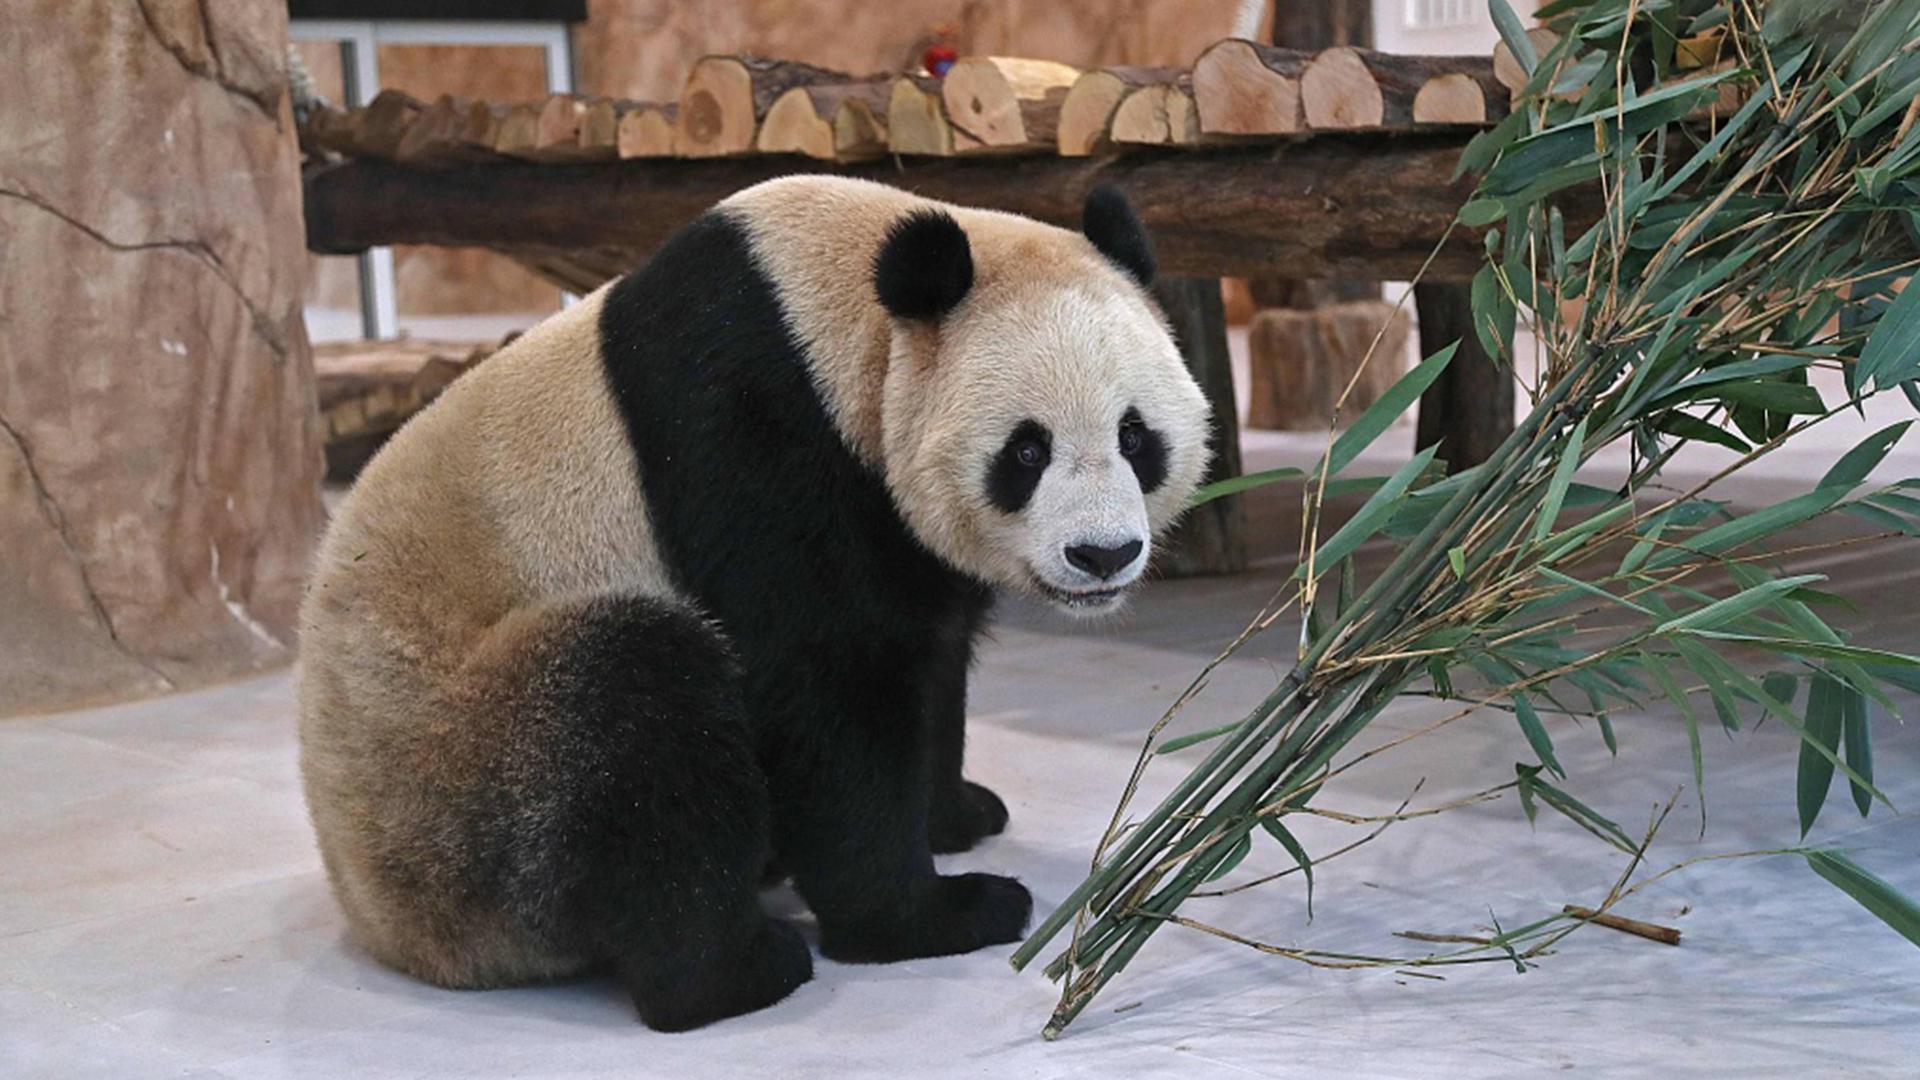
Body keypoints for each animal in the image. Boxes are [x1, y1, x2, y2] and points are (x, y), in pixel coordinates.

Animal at [298, 175, 1213, 1031]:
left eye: (1136, 437)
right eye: (1026, 451)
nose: (1102, 555)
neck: (838, 324)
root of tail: (380, 922)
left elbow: (928, 650)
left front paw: (955, 814)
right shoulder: (753, 432)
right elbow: (826, 685)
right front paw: (931, 915)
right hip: (459, 768)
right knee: (631, 723)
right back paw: (736, 972)